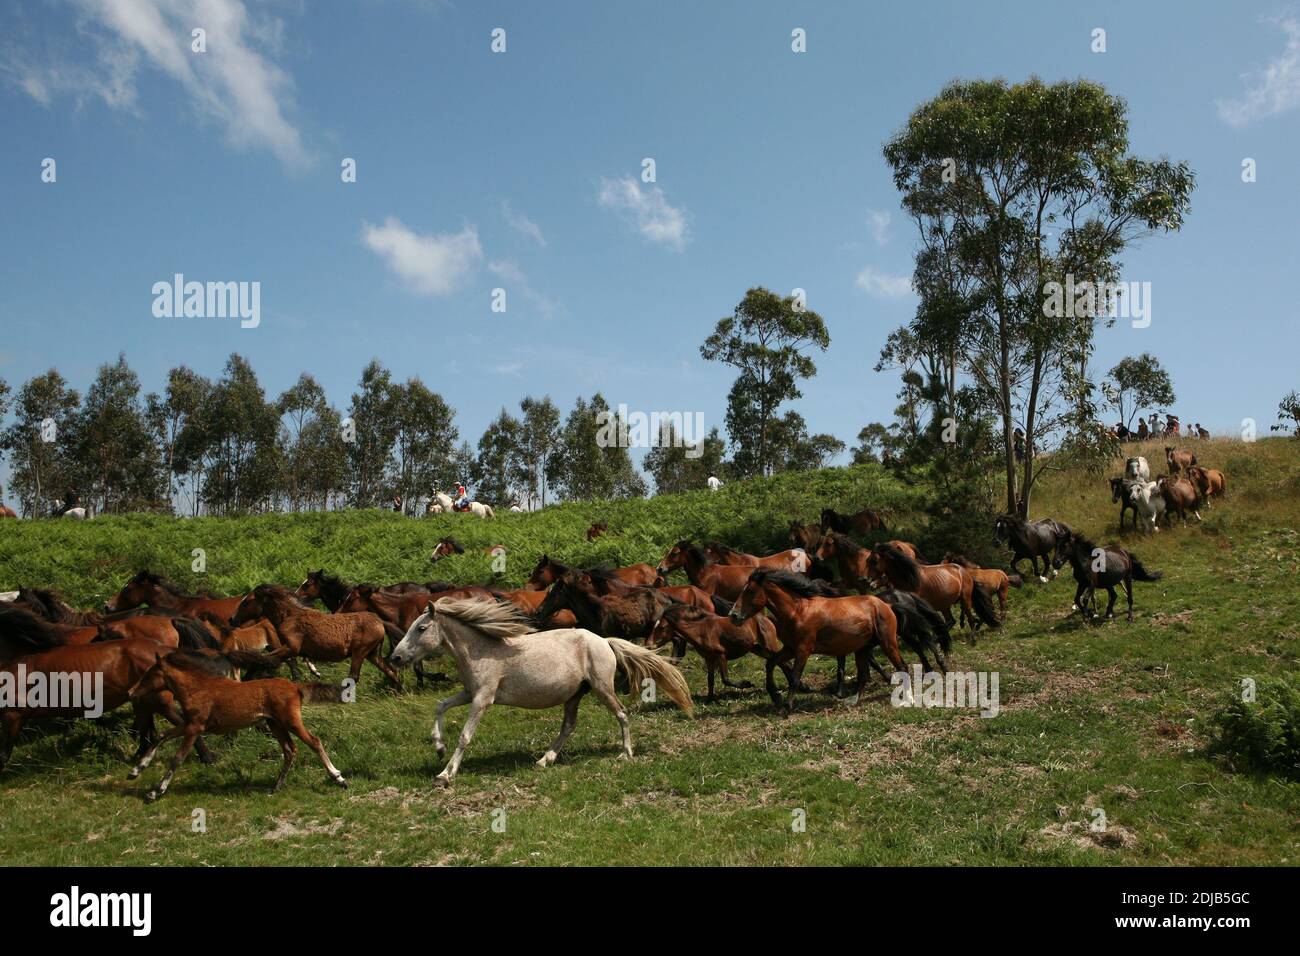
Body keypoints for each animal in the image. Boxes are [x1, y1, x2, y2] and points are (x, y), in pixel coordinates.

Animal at [127, 652, 348, 800]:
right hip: (275, 724)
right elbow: (161, 736)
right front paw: (136, 771)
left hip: (290, 722)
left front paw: (156, 791)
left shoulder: (194, 727)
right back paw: (276, 787)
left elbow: (177, 758)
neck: (196, 689)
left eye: (149, 673)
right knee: (289, 750)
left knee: (314, 742)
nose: (130, 692)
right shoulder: (189, 724)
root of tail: (295, 687)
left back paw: (339, 778)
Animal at [232, 585, 400, 688]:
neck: (290, 616)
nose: (232, 619)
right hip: (372, 654)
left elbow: (262, 660)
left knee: (353, 677)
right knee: (390, 670)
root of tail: (380, 622)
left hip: (360, 652)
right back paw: (398, 690)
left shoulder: (290, 648)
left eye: (246, 602)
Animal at [390, 597, 692, 786]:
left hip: (602, 688)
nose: (395, 657)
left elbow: (465, 736)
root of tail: (604, 641)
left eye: (421, 628)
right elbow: (440, 705)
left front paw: (445, 775)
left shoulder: (482, 699)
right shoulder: (469, 693)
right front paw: (439, 747)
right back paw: (545, 760)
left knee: (622, 714)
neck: (480, 650)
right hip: (574, 696)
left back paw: (626, 754)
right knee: (569, 726)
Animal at [728, 569, 908, 714]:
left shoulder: (803, 649)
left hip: (887, 643)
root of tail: (886, 605)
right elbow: (771, 663)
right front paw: (775, 696)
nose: (733, 615)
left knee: (902, 667)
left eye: (750, 591)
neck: (797, 611)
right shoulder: (790, 649)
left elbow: (794, 677)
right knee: (864, 675)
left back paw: (906, 698)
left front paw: (786, 707)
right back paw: (852, 701)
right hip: (863, 648)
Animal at [868, 543, 1001, 636]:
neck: (910, 579)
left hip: (963, 600)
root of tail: (964, 571)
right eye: (868, 560)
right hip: (944, 606)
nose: (868, 582)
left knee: (965, 618)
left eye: (875, 561)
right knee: (951, 621)